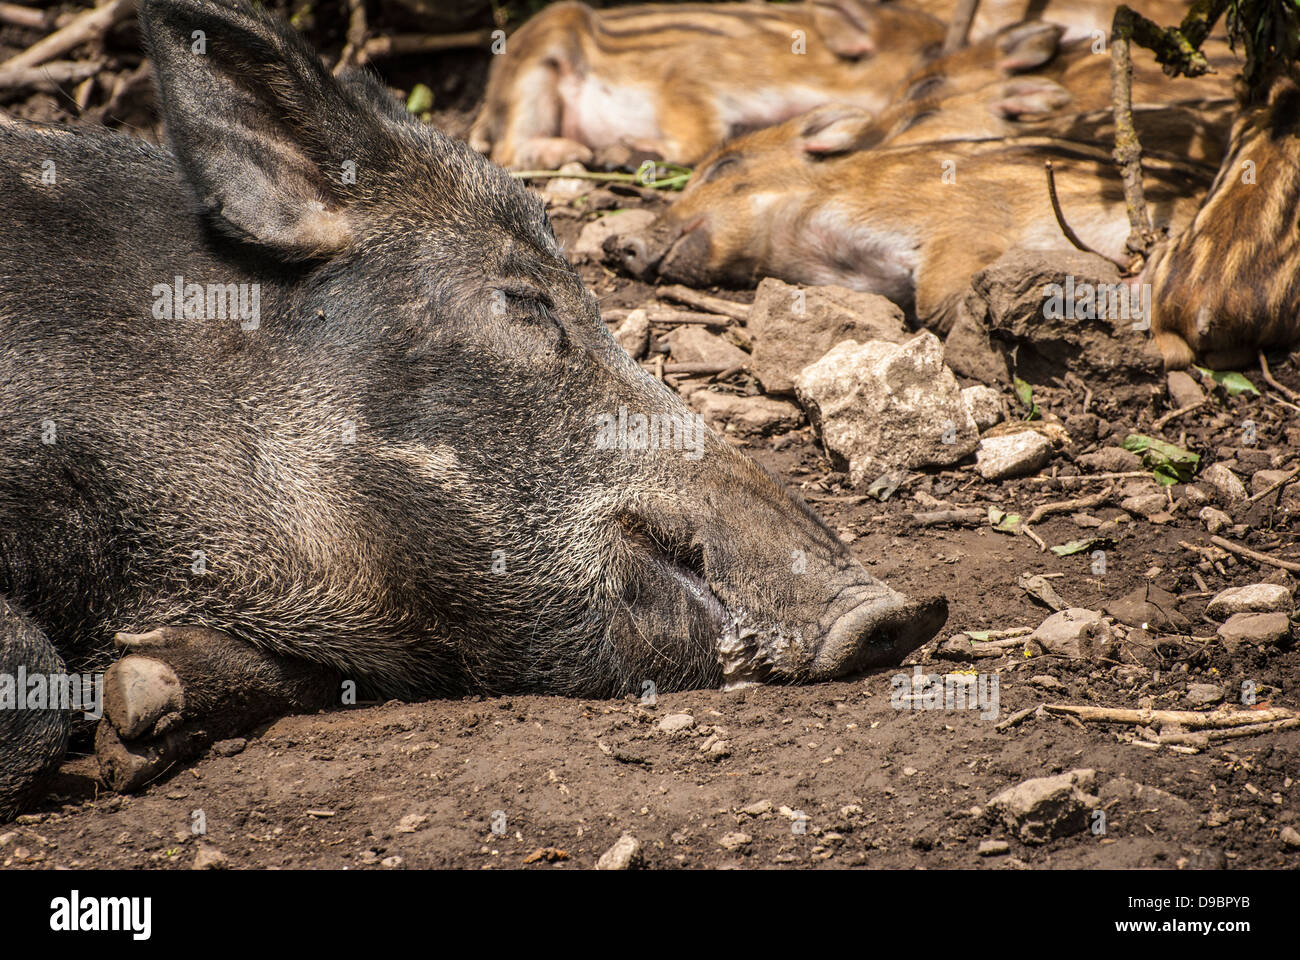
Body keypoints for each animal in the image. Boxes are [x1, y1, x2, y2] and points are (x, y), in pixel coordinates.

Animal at [468, 0, 948, 169]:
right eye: (931, 52)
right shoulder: (685, 79)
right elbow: (701, 136)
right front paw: (628, 150)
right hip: (535, 74)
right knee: (508, 150)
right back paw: (577, 154)